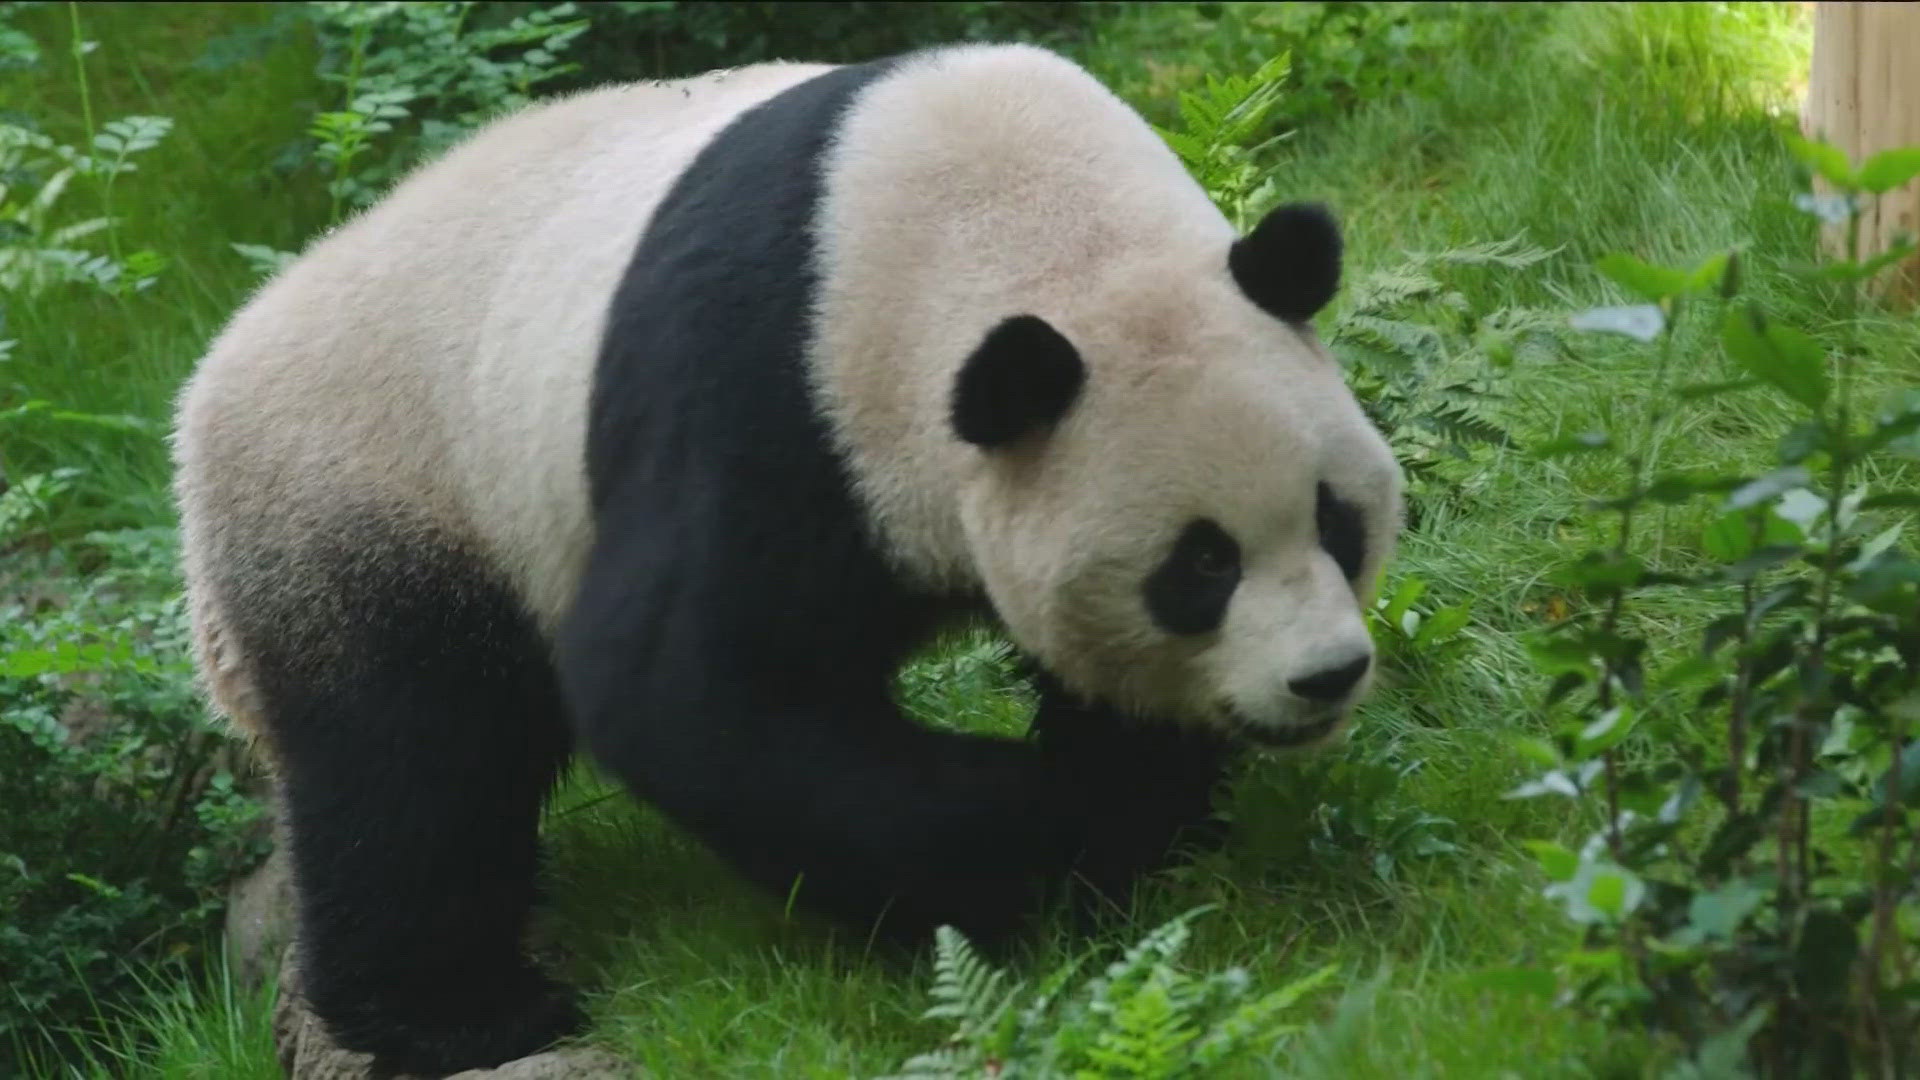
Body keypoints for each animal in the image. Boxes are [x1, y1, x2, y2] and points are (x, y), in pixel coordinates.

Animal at [171, 43, 1402, 1074]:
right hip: (376, 493)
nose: (1326, 677)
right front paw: (1037, 843)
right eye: (1200, 567)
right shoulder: (766, 386)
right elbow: (691, 690)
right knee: (410, 764)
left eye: (1335, 520)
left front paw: (1142, 818)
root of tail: (201, 397)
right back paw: (461, 1013)